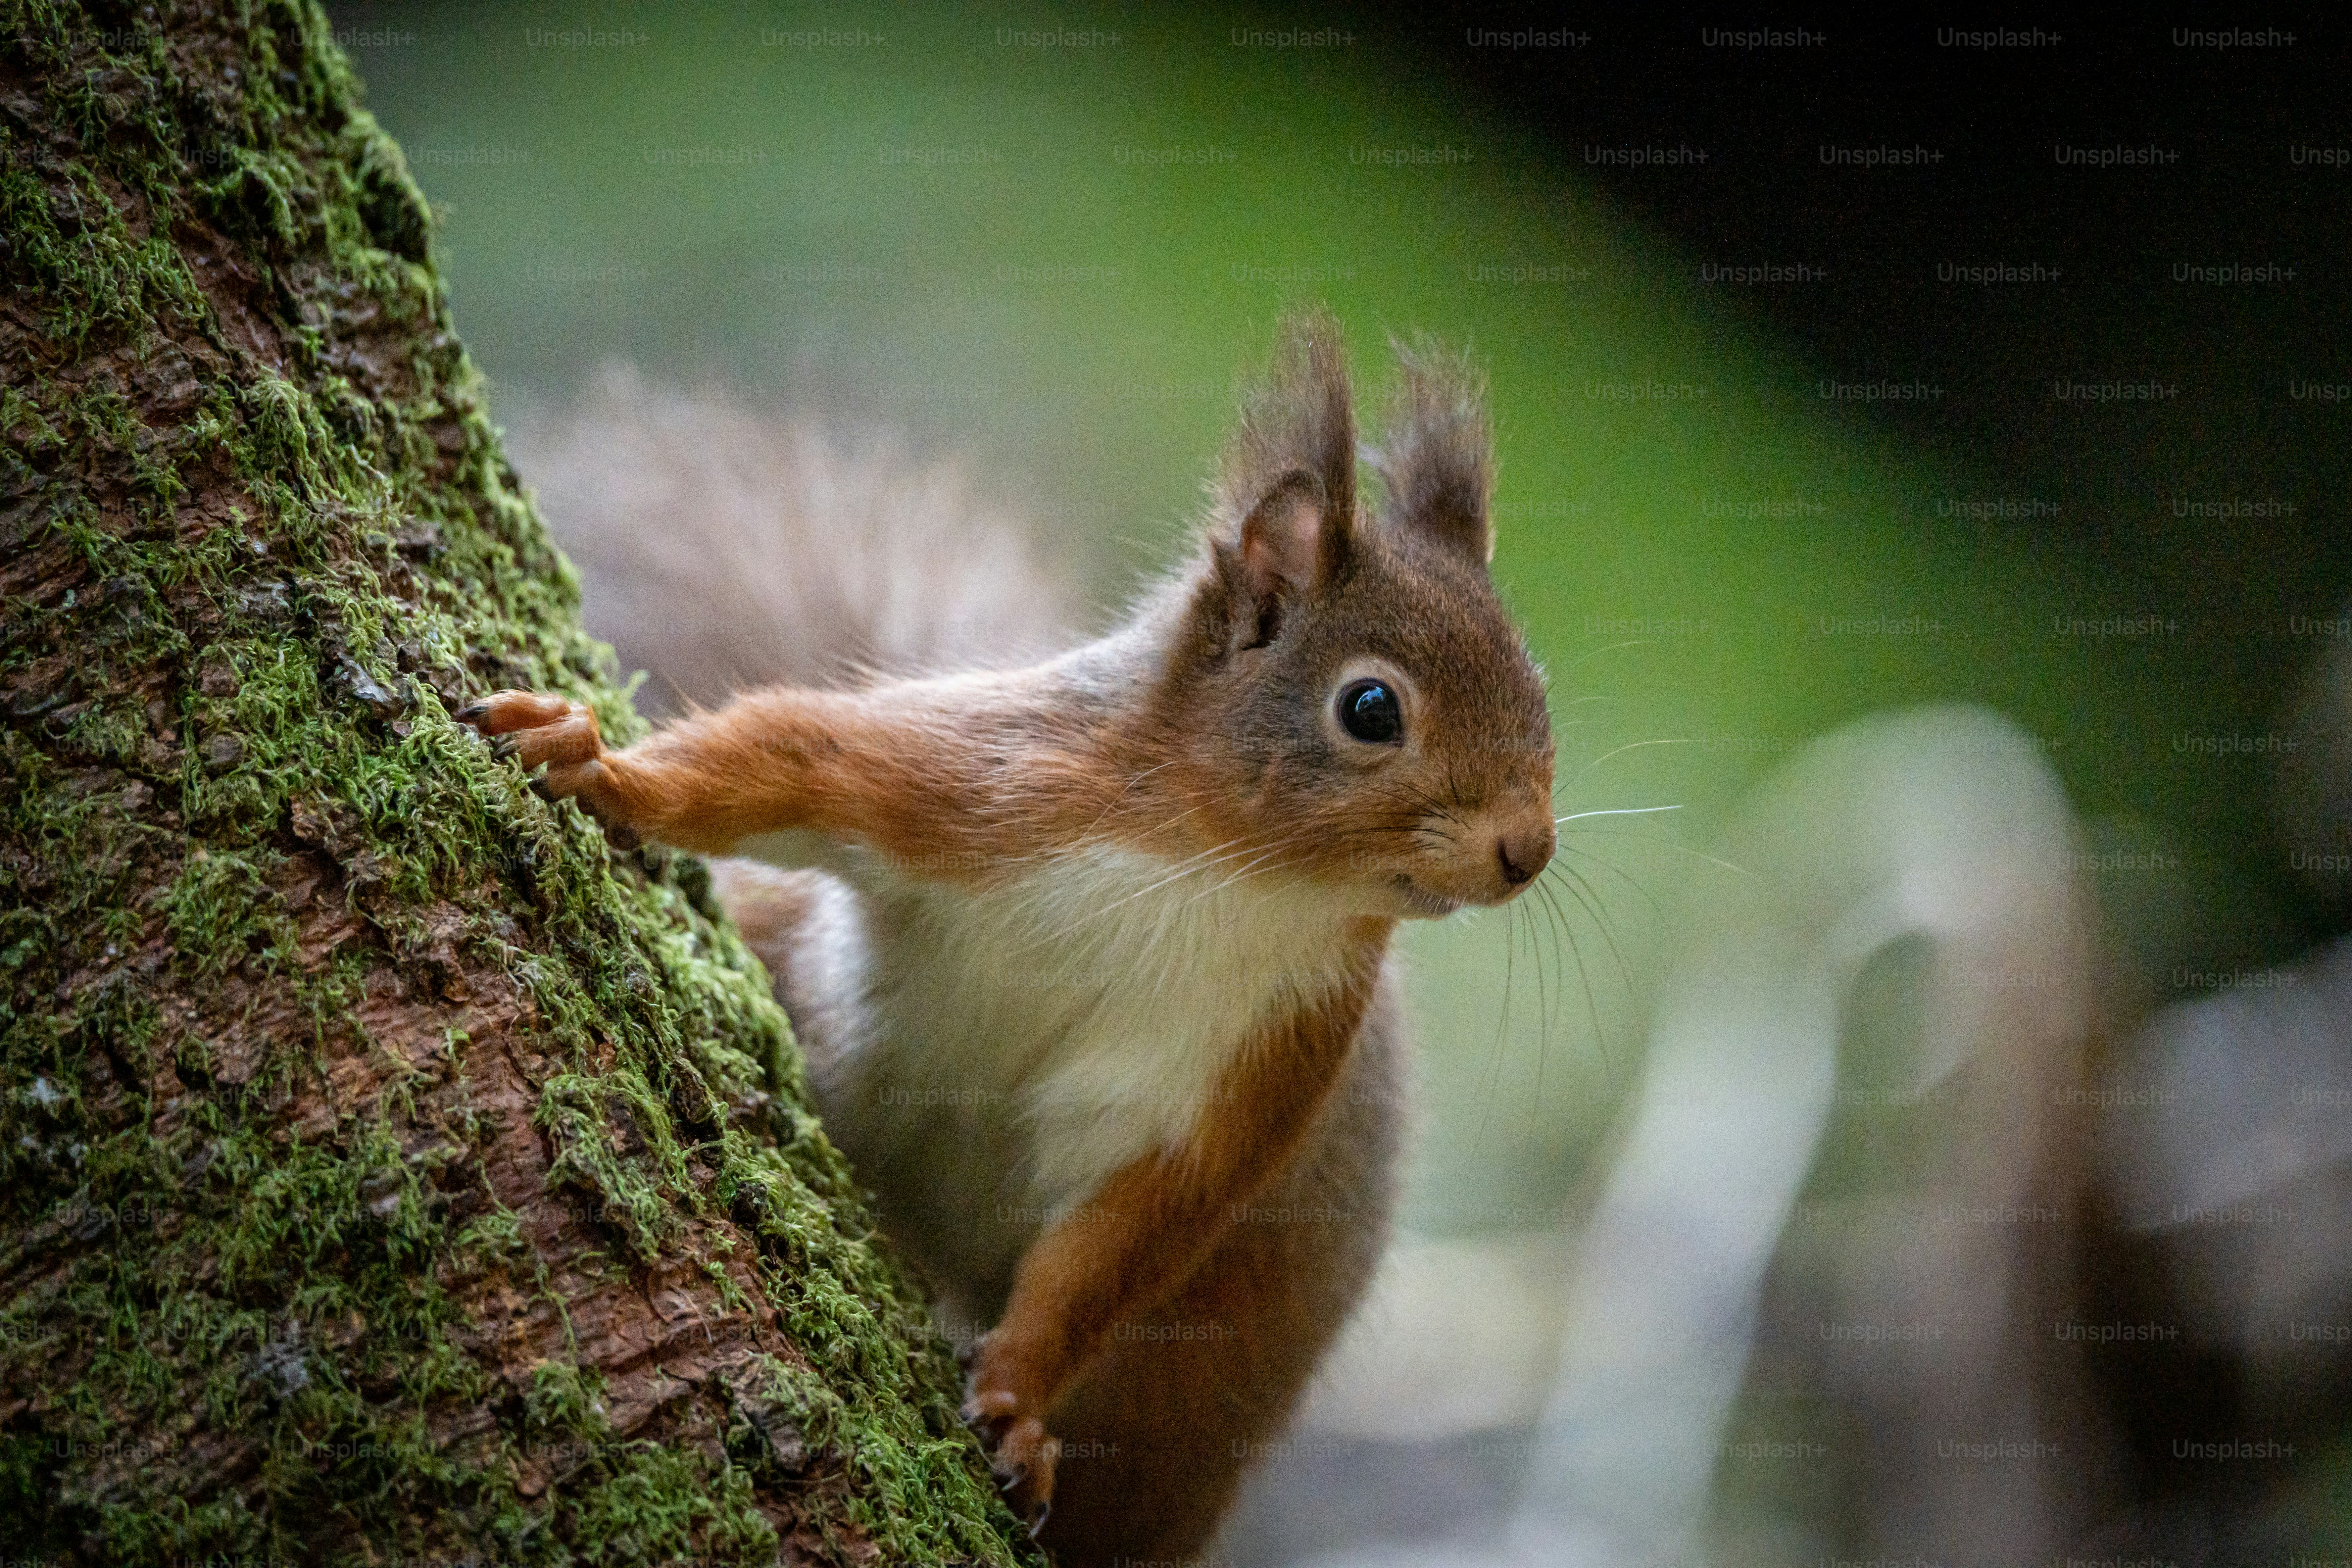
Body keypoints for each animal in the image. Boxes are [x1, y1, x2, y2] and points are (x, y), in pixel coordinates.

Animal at [465, 308, 1557, 1565]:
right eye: (1370, 709)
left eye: (1539, 690)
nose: (1528, 849)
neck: (1228, 876)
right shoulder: (987, 779)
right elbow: (792, 753)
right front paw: (599, 764)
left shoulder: (1257, 1063)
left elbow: (1116, 1247)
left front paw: (1016, 1407)